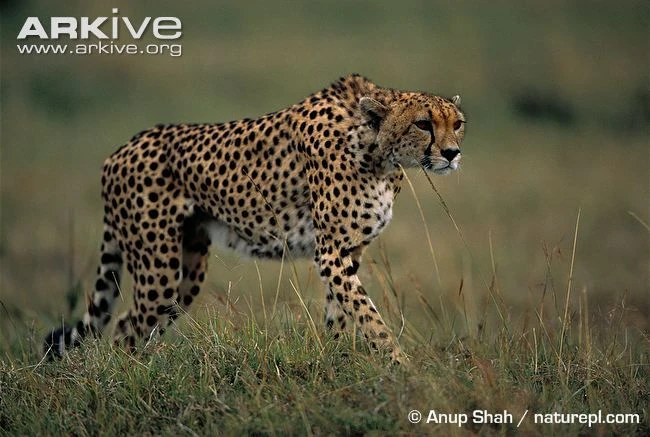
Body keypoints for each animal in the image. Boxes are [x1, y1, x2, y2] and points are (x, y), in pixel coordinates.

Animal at [43, 74, 466, 363]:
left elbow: (342, 314)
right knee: (124, 329)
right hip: (158, 271)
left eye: (457, 123)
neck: (378, 152)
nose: (452, 153)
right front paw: (402, 368)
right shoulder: (330, 251)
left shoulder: (347, 251)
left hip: (186, 272)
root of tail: (119, 151)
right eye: (423, 123)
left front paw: (339, 362)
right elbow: (369, 316)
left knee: (133, 325)